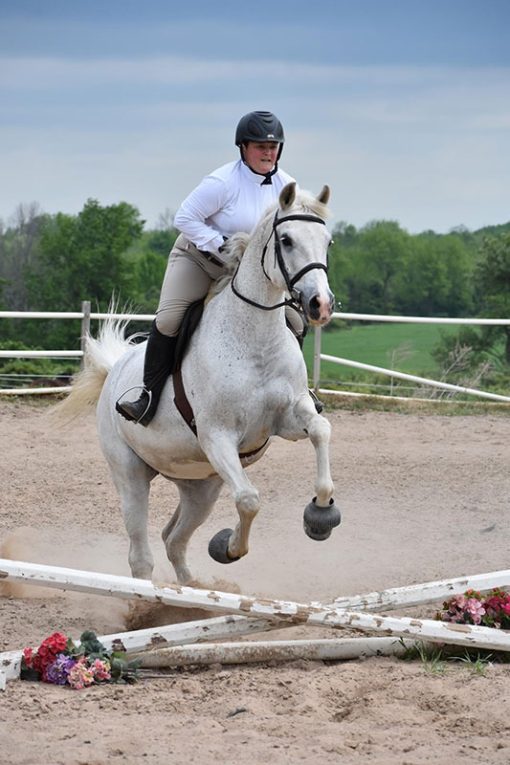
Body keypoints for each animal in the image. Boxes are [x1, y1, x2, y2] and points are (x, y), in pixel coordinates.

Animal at [59, 182, 340, 584]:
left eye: (328, 241)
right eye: (286, 240)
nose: (321, 304)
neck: (254, 338)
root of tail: (114, 370)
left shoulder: (288, 417)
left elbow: (320, 430)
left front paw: (321, 514)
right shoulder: (217, 436)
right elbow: (249, 499)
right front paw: (229, 547)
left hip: (200, 486)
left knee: (173, 539)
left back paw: (191, 588)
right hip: (131, 474)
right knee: (141, 554)